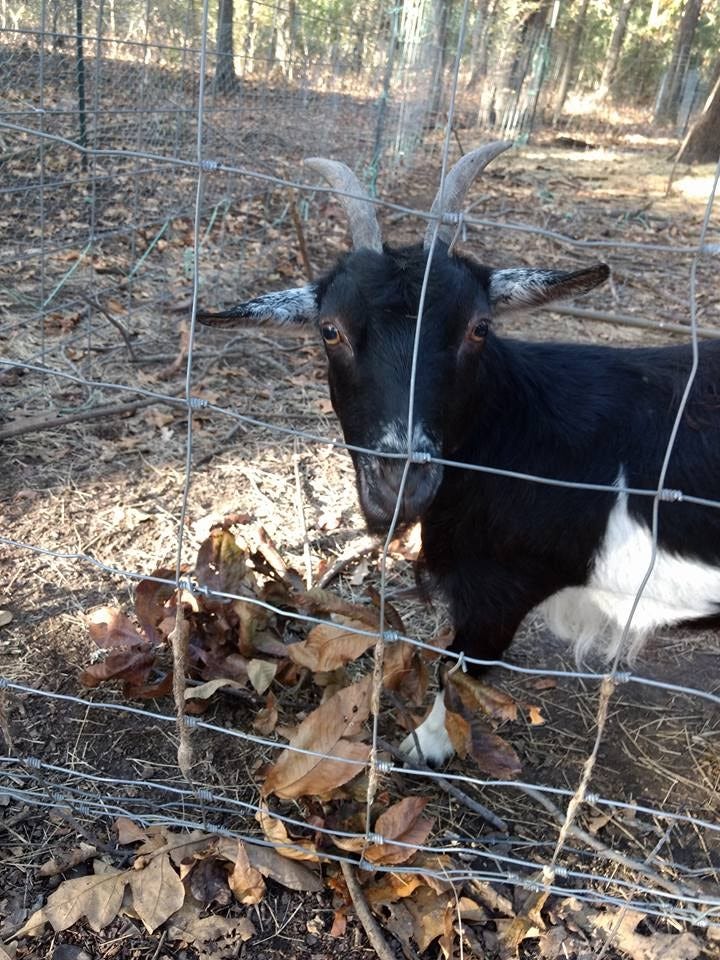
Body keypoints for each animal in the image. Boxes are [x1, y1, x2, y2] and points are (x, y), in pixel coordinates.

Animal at [199, 142, 720, 765]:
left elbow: (463, 667)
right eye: (329, 330)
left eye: (479, 327)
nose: (400, 482)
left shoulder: (501, 590)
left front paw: (424, 744)